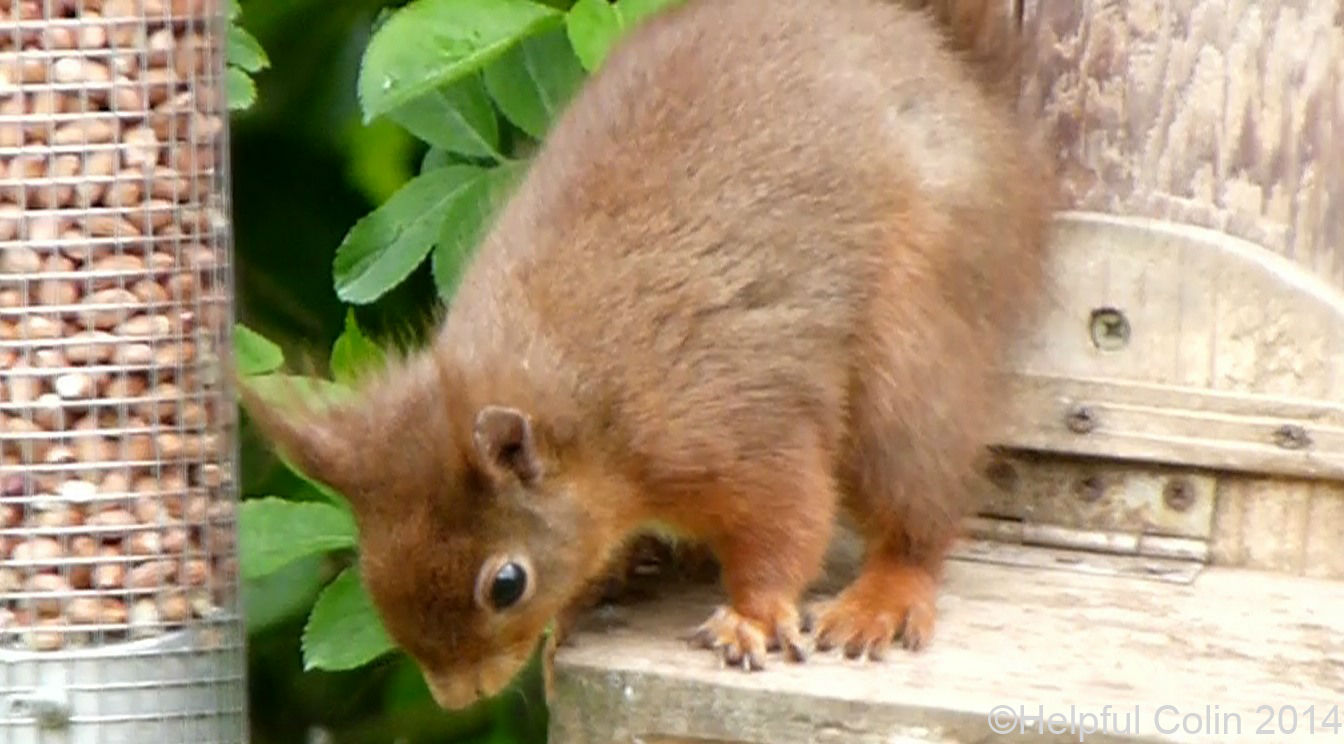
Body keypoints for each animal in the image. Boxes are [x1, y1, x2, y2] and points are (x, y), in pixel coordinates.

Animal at [239, 0, 1057, 711]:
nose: (459, 697)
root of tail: (949, 68)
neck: (581, 401)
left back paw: (882, 597)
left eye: (507, 584)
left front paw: (752, 616)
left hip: (912, 347)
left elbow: (788, 521)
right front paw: (569, 623)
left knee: (916, 497)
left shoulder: (734, 425)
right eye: (368, 567)